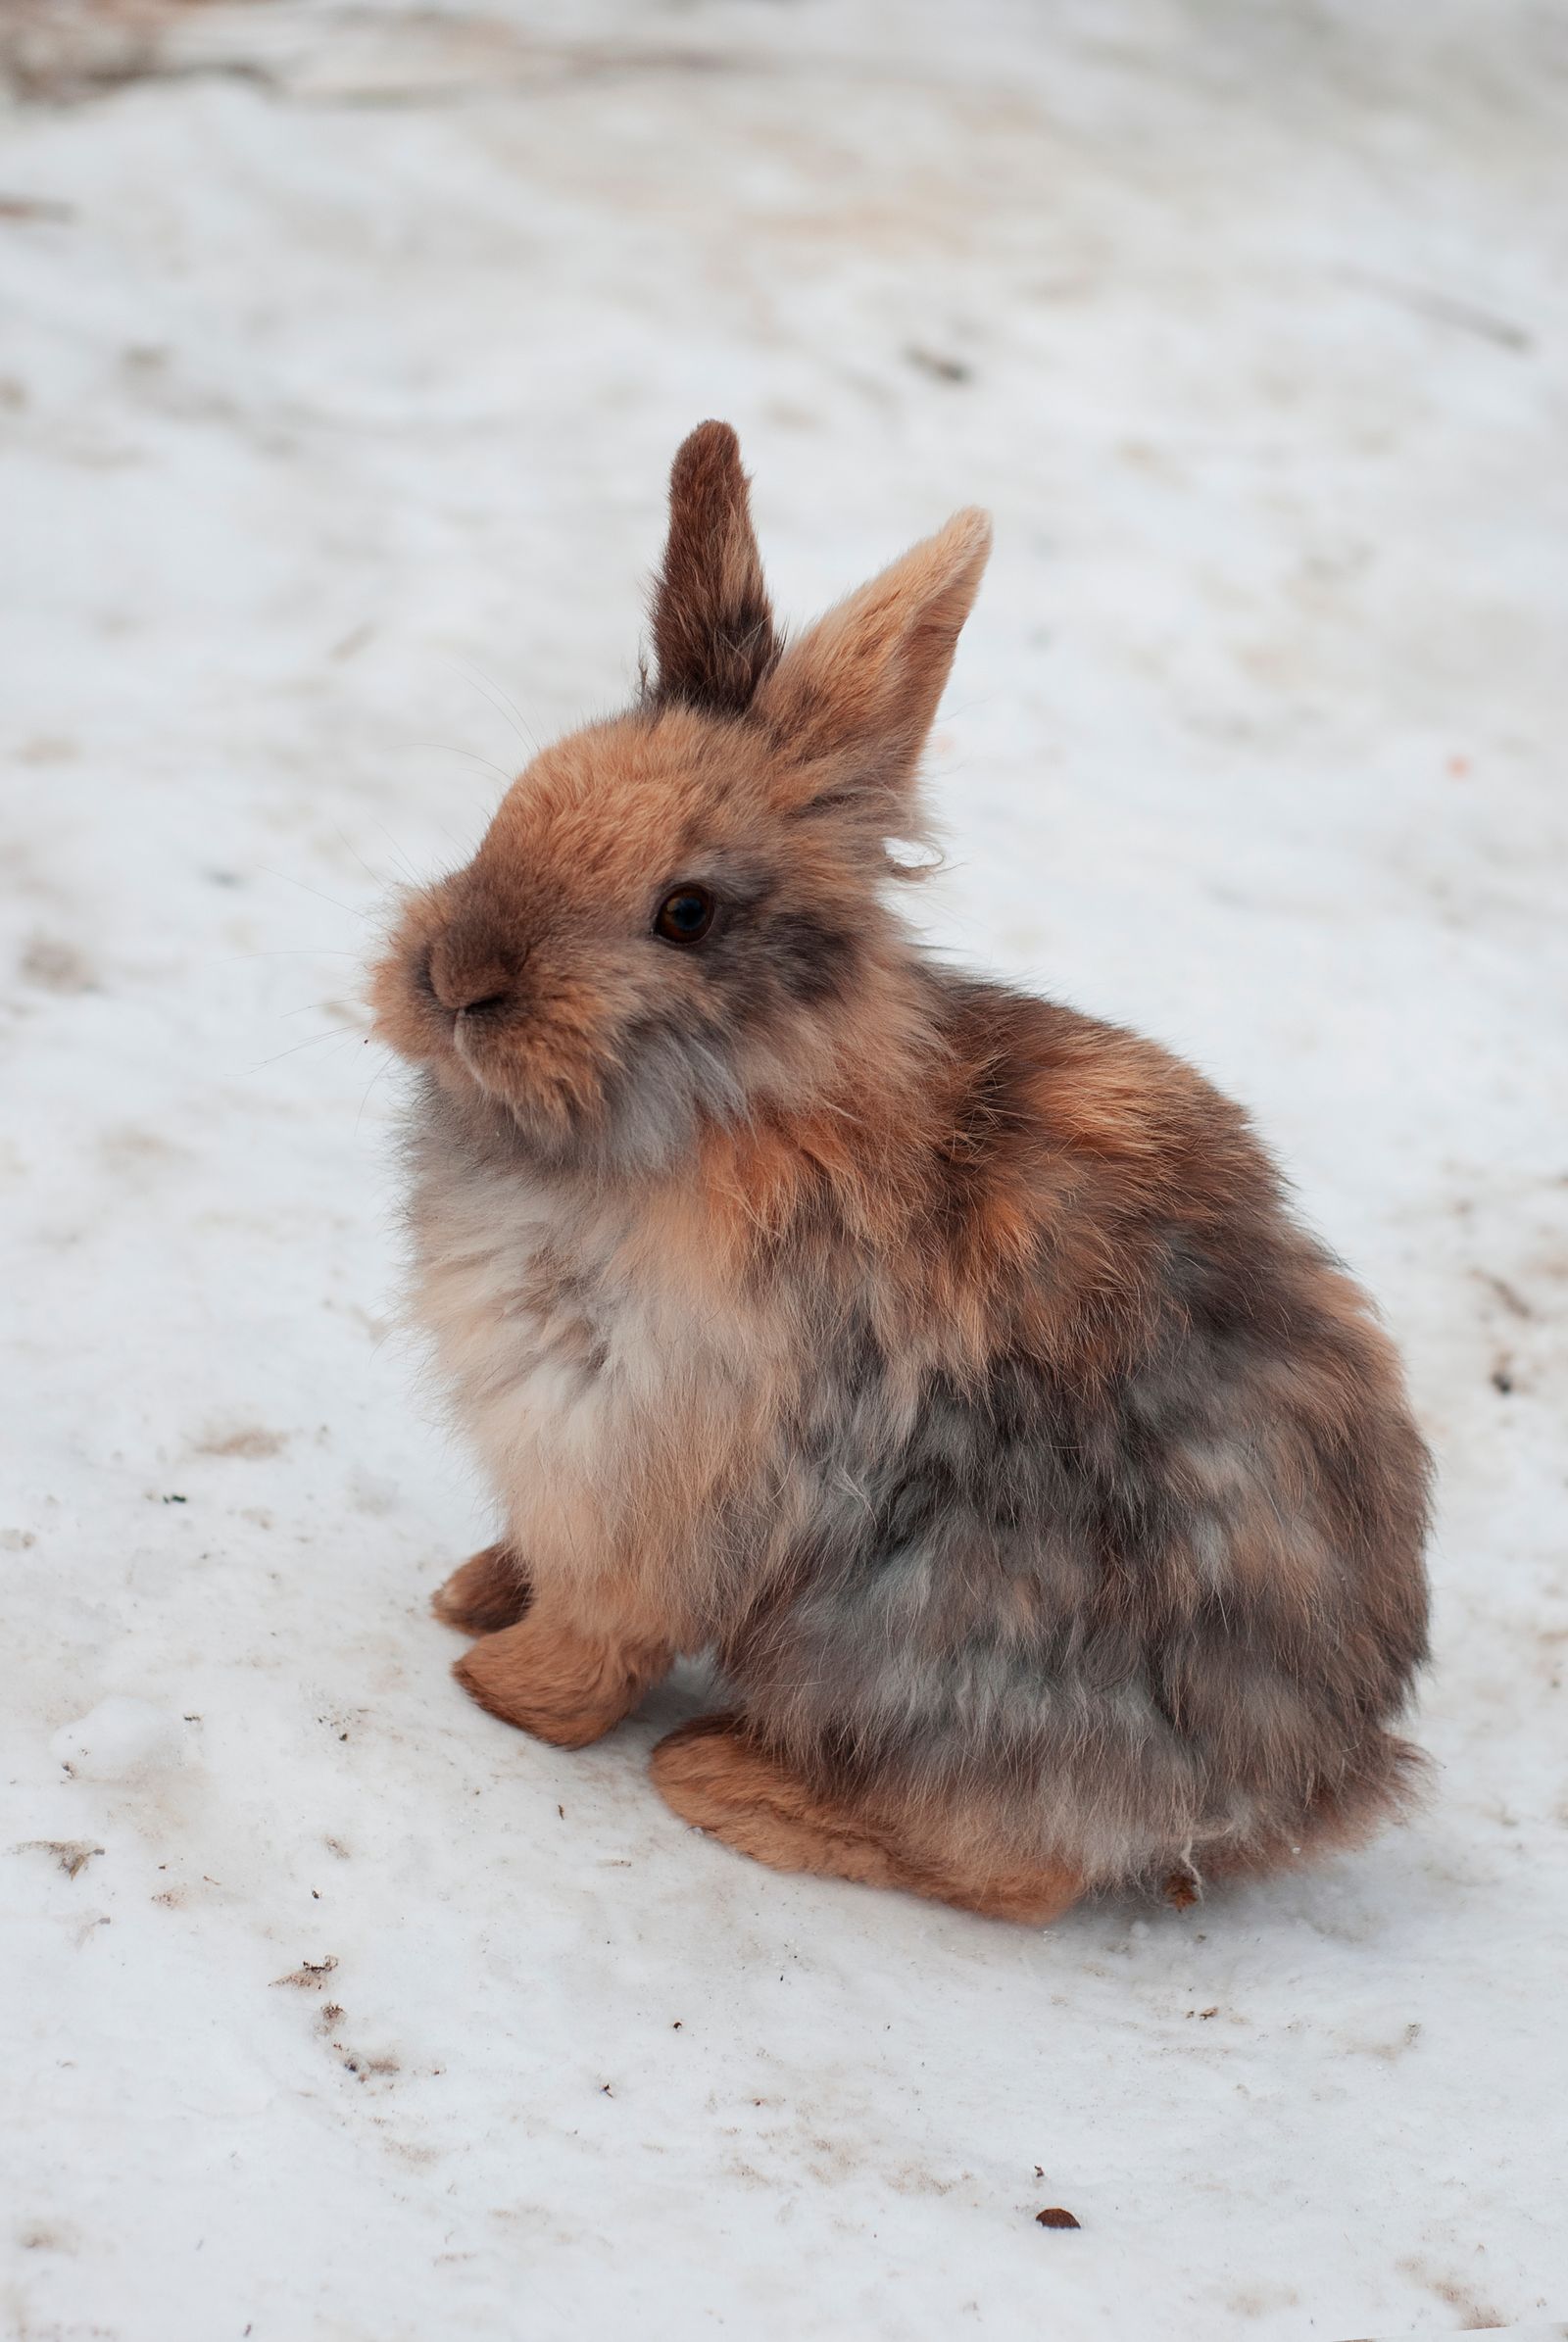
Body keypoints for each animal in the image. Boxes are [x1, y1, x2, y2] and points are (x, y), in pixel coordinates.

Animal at [369, 422, 1431, 1924]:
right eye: (517, 797)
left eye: (685, 912)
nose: (459, 978)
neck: (729, 1105)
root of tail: (1314, 1787)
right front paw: (472, 1591)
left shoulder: (652, 1456)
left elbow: (602, 1630)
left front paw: (494, 1682)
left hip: (933, 1640)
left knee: (1019, 1871)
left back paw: (732, 1781)